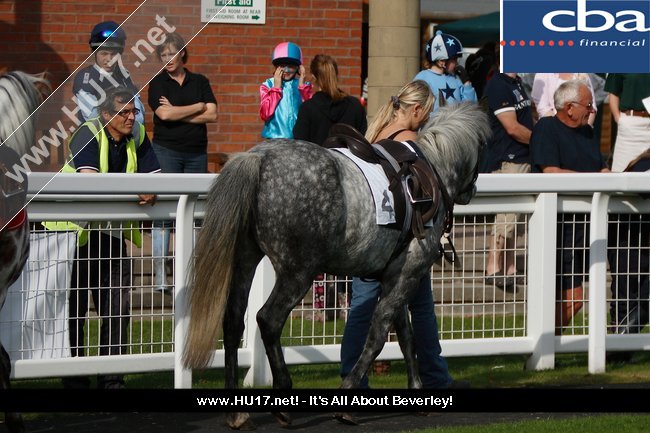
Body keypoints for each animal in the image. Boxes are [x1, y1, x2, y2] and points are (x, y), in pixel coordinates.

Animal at [183, 102, 490, 429]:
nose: (471, 191)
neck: (431, 168)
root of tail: (258, 158)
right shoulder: (410, 273)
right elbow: (379, 335)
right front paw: (348, 397)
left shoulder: (394, 276)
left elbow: (406, 337)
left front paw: (416, 392)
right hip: (298, 273)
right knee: (268, 319)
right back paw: (282, 395)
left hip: (245, 259)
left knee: (232, 322)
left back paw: (237, 413)